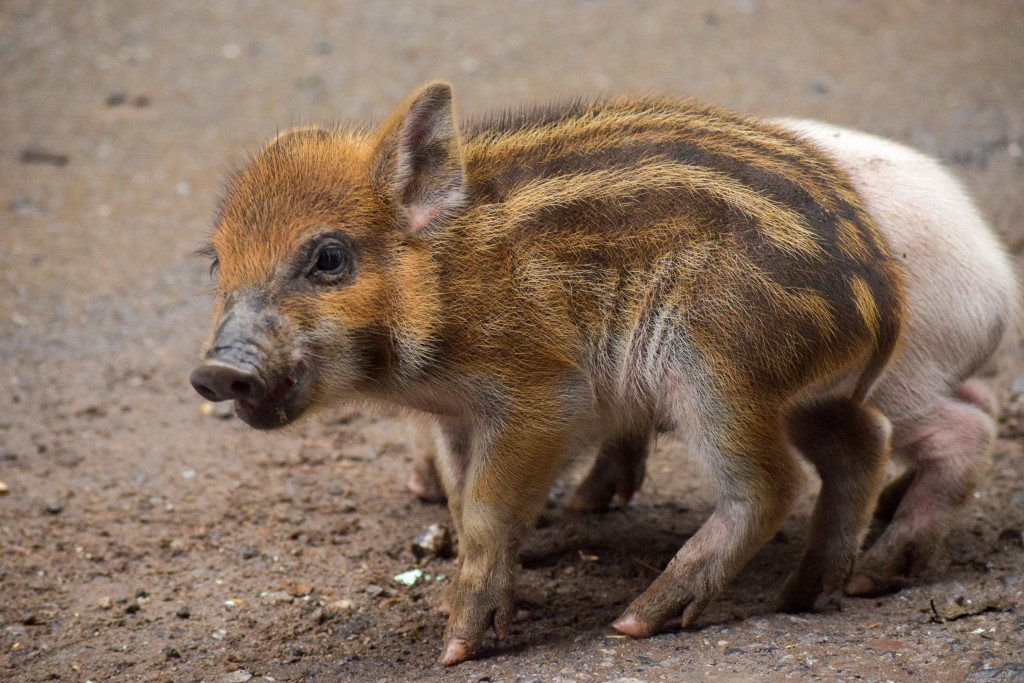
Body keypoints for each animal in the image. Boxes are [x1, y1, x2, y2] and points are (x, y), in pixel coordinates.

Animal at [191, 81, 911, 665]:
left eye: (329, 257)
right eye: (217, 262)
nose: (216, 372)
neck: (446, 278)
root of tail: (882, 297)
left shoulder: (542, 394)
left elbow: (487, 509)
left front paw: (456, 648)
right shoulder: (454, 416)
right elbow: (461, 501)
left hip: (716, 371)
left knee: (771, 485)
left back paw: (639, 619)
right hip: (799, 391)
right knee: (865, 440)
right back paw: (808, 593)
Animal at [406, 117, 1018, 601]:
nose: (419, 487)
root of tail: (998, 286)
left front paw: (577, 506)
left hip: (898, 377)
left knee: (964, 430)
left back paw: (872, 577)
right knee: (980, 406)